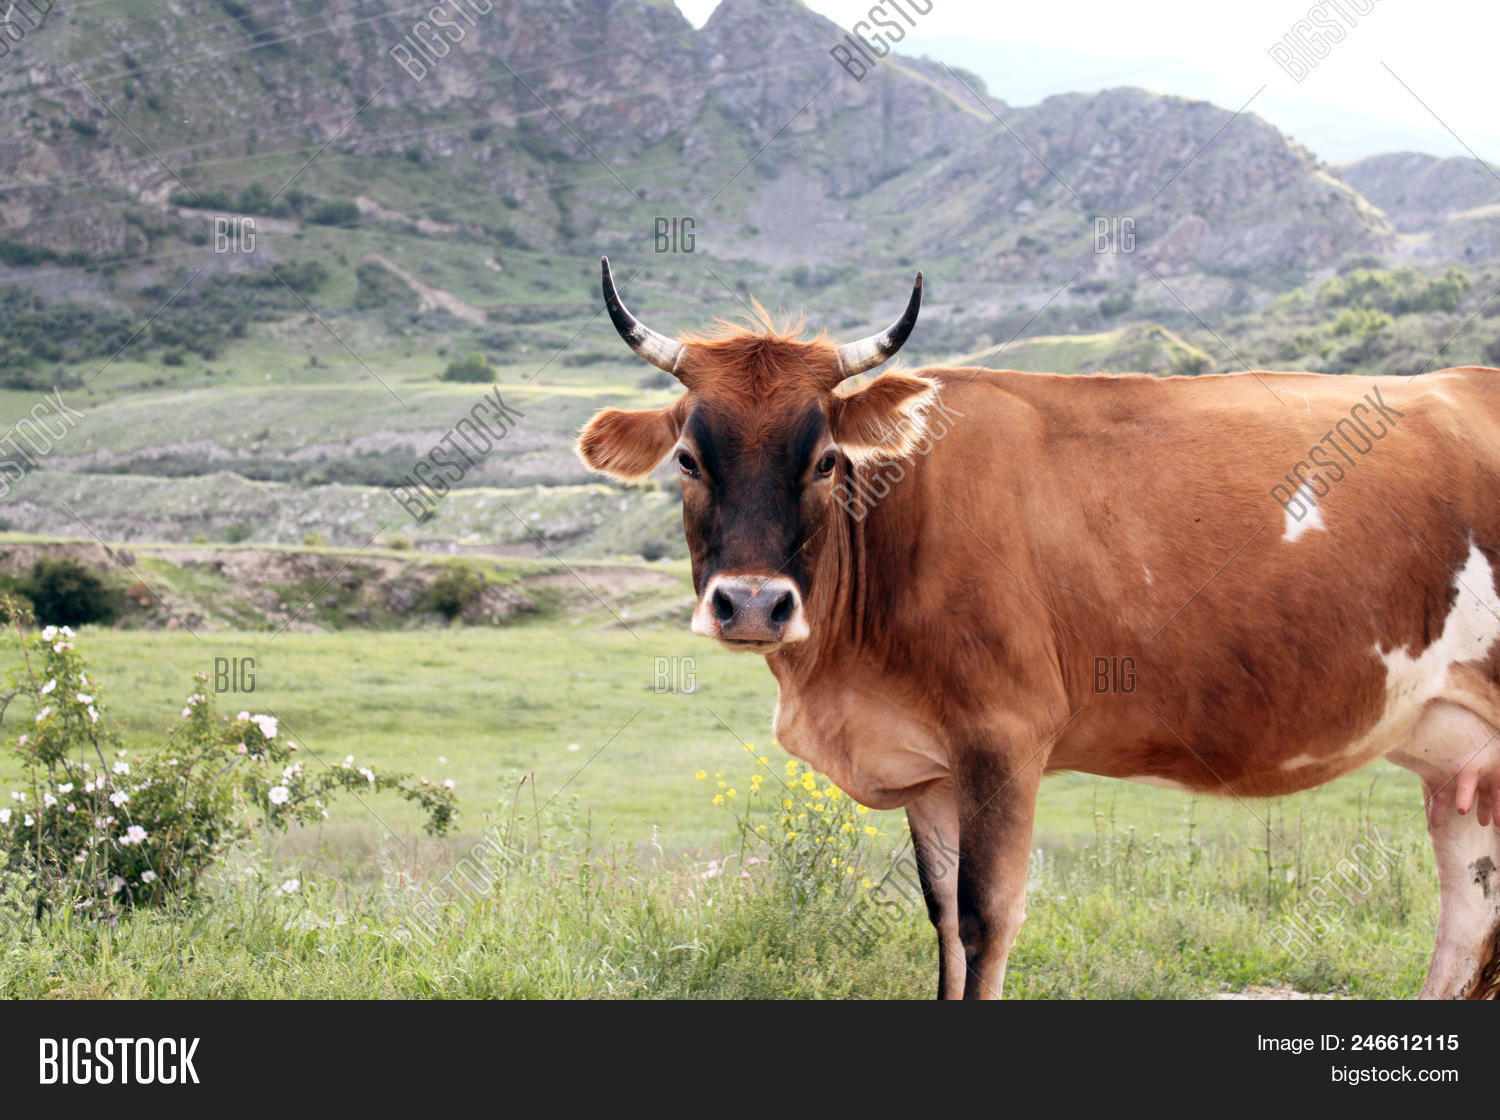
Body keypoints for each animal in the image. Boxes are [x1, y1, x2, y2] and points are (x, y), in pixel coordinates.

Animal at [577, 257, 1500, 1000]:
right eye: (689, 460)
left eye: (826, 460)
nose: (752, 604)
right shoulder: (931, 766)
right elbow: (944, 926)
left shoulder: (1004, 737)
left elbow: (986, 922)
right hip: (1465, 762)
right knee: (1469, 916)